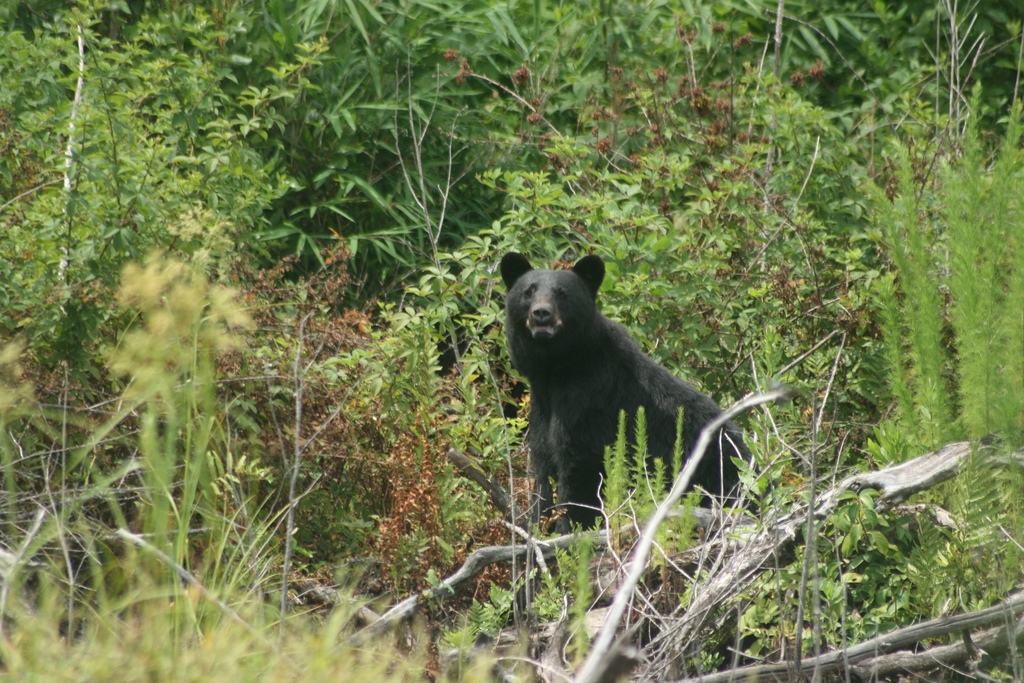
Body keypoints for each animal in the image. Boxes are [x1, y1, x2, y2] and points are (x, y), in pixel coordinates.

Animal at [500, 251, 750, 530]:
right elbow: (543, 468)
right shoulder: (542, 408)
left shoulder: (590, 403)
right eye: (529, 291)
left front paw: (568, 530)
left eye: (562, 293)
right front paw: (538, 524)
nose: (541, 313)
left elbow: (580, 472)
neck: (558, 369)